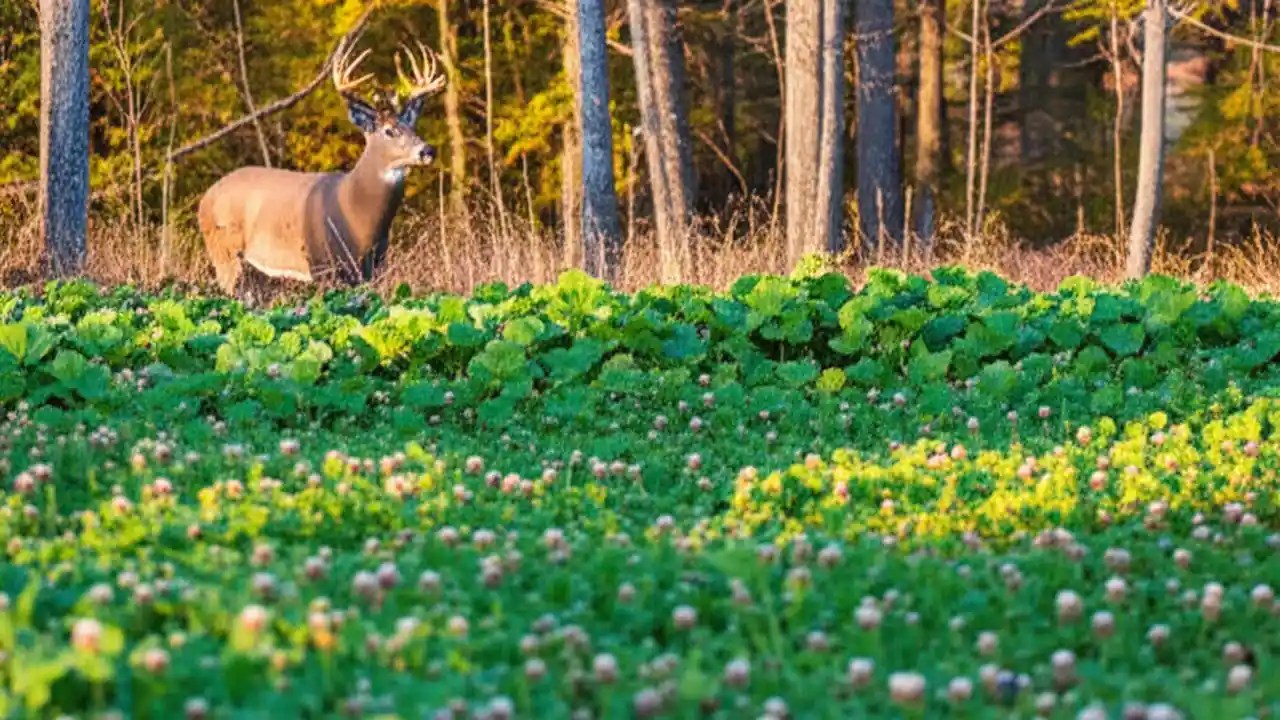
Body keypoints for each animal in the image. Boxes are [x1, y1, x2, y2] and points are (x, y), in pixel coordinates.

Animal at [197, 35, 446, 300]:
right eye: (389, 131)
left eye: (413, 126)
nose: (427, 150)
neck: (357, 217)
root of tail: (205, 199)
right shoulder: (322, 264)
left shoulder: (373, 267)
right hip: (222, 251)